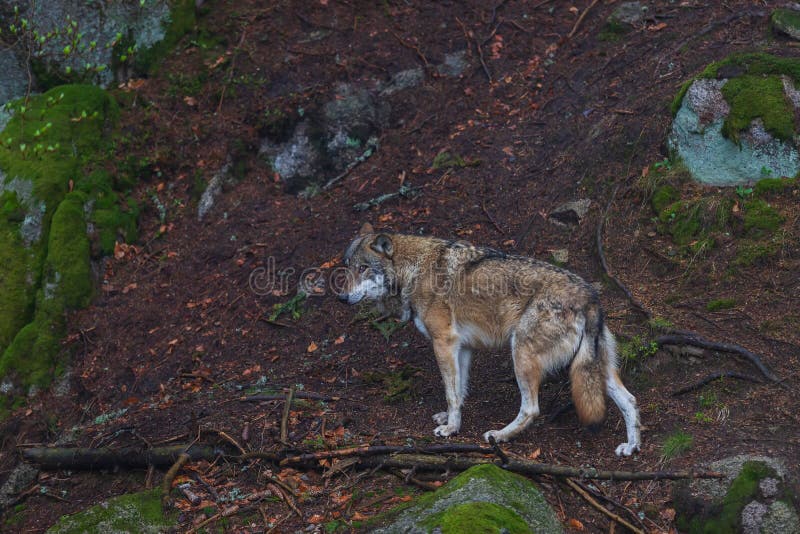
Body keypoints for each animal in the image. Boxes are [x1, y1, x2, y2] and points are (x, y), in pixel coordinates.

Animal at [337, 223, 641, 456]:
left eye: (364, 268)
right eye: (347, 267)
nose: (341, 297)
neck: (414, 270)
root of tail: (589, 296)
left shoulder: (443, 343)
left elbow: (450, 392)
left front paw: (450, 429)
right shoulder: (462, 348)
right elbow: (459, 390)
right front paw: (451, 419)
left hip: (521, 354)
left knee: (531, 409)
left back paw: (500, 435)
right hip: (594, 368)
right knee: (630, 399)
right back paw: (631, 447)